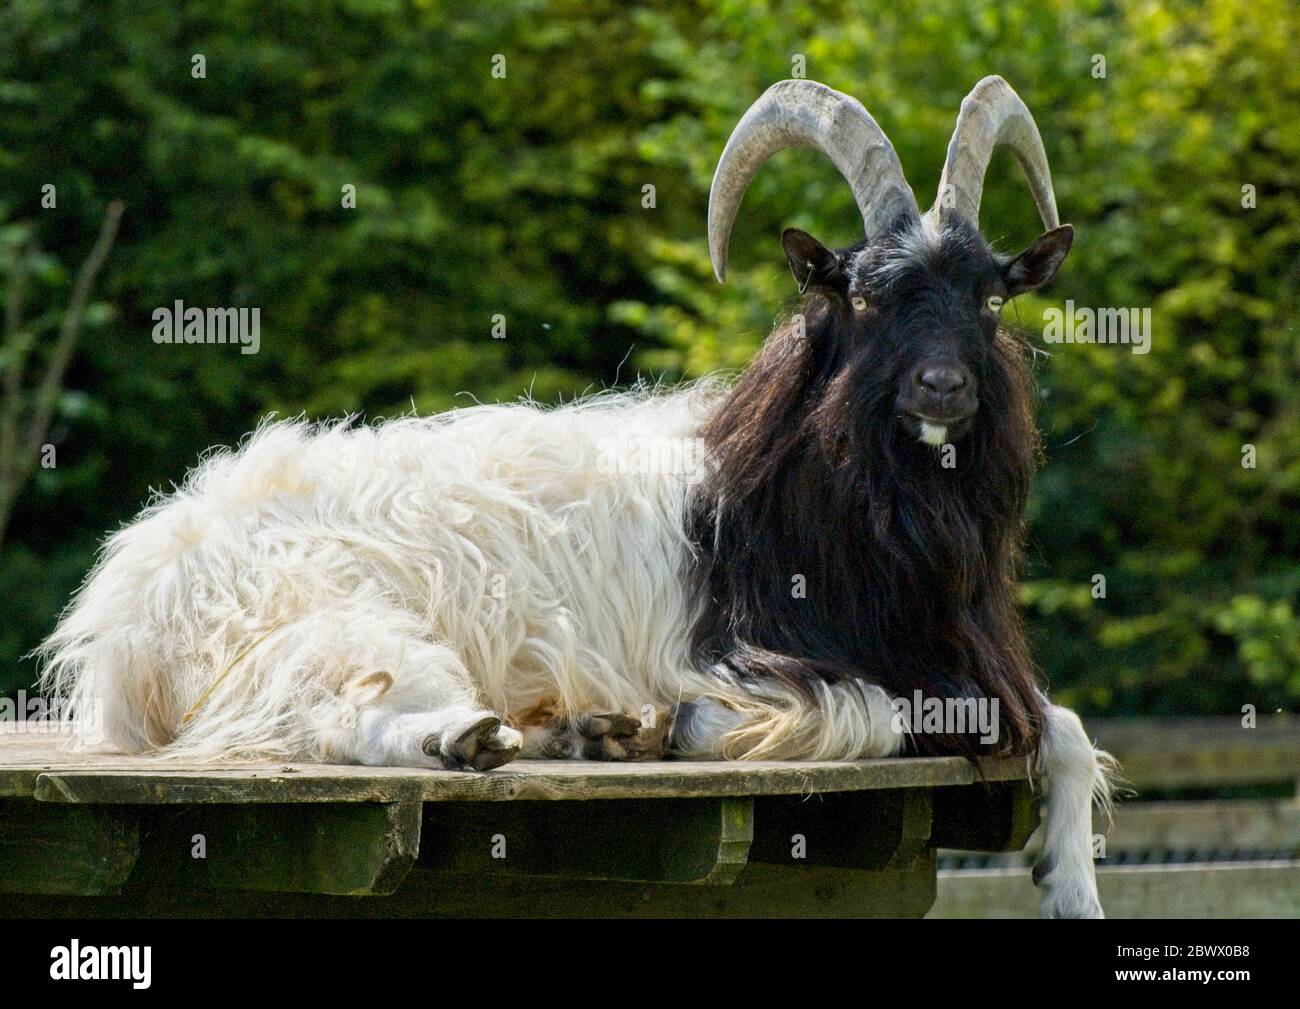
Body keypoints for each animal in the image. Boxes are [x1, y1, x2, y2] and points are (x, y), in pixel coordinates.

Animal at [40, 76, 1114, 917]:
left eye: (990, 296)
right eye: (863, 295)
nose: (944, 388)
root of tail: (125, 607)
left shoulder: (963, 657)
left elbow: (1059, 725)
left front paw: (1069, 889)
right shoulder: (768, 655)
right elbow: (888, 714)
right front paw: (695, 727)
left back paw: (586, 729)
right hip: (322, 620)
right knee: (338, 713)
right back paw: (469, 738)